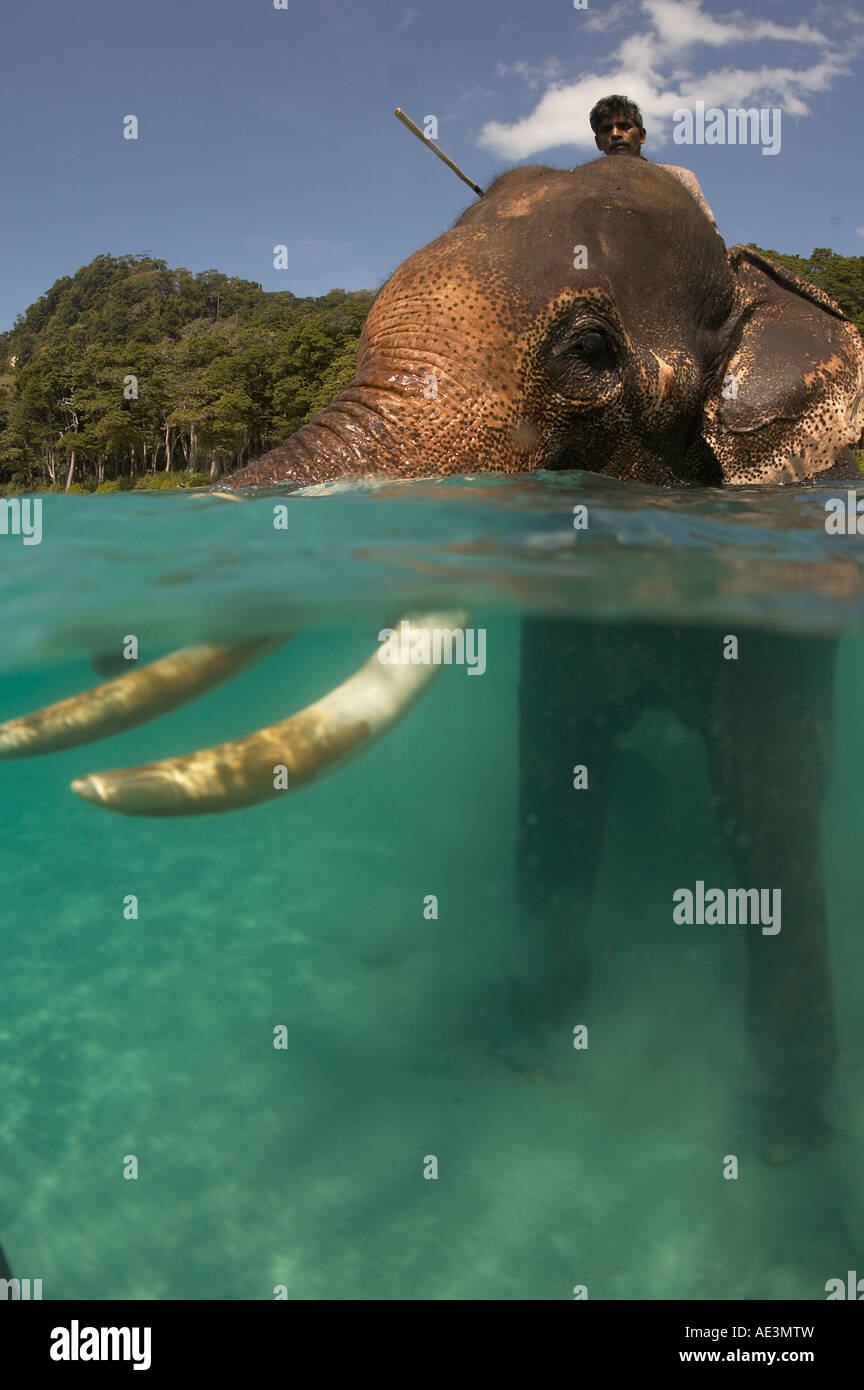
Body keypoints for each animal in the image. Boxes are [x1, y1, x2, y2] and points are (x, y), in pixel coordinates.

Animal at [1, 157, 862, 1162]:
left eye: (588, 353)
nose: (110, 645)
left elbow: (768, 787)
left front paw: (787, 1141)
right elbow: (556, 756)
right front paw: (533, 1040)